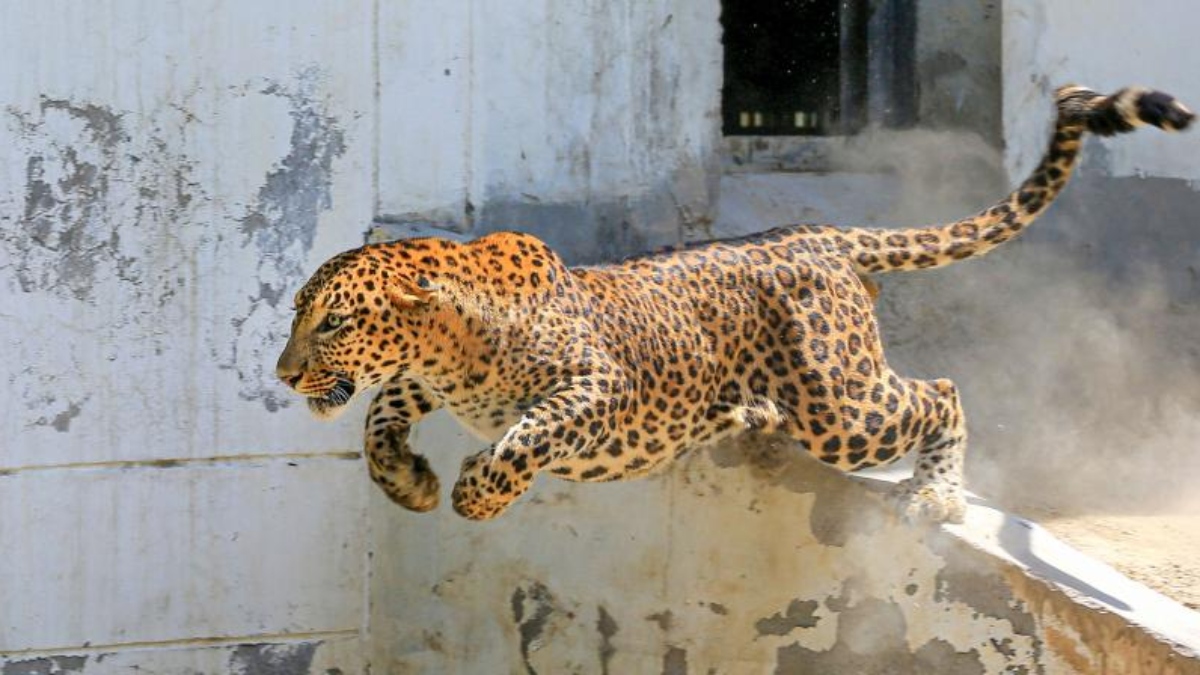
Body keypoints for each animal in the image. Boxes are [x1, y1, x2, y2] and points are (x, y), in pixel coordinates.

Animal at [276, 85, 1192, 524]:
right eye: (296, 313)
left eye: (335, 322)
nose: (284, 375)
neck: (451, 344)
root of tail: (816, 235)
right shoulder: (421, 379)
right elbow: (378, 414)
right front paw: (409, 481)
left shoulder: (596, 385)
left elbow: (529, 432)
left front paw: (475, 491)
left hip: (840, 406)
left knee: (939, 392)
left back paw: (935, 493)